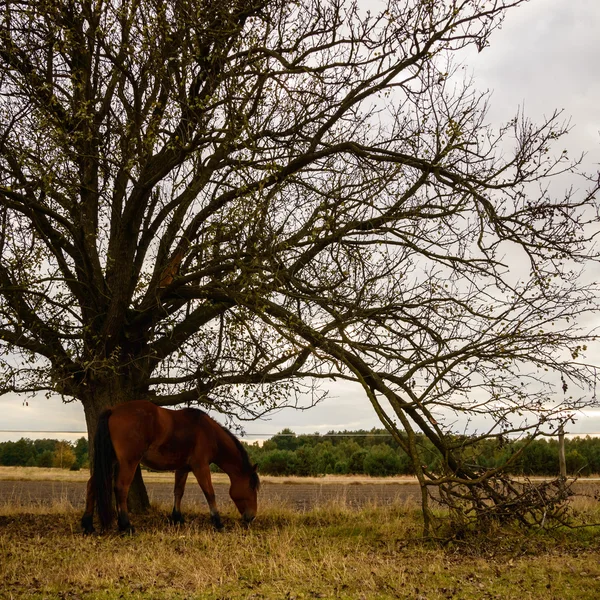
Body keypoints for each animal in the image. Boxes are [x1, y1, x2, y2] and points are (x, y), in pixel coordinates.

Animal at [79, 398, 258, 536]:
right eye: (251, 486)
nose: (252, 517)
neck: (208, 432)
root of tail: (113, 410)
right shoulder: (200, 467)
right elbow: (210, 493)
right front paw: (218, 523)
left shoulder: (183, 468)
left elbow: (178, 491)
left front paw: (177, 518)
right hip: (128, 462)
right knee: (121, 488)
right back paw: (126, 526)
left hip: (111, 461)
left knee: (92, 485)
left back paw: (88, 526)